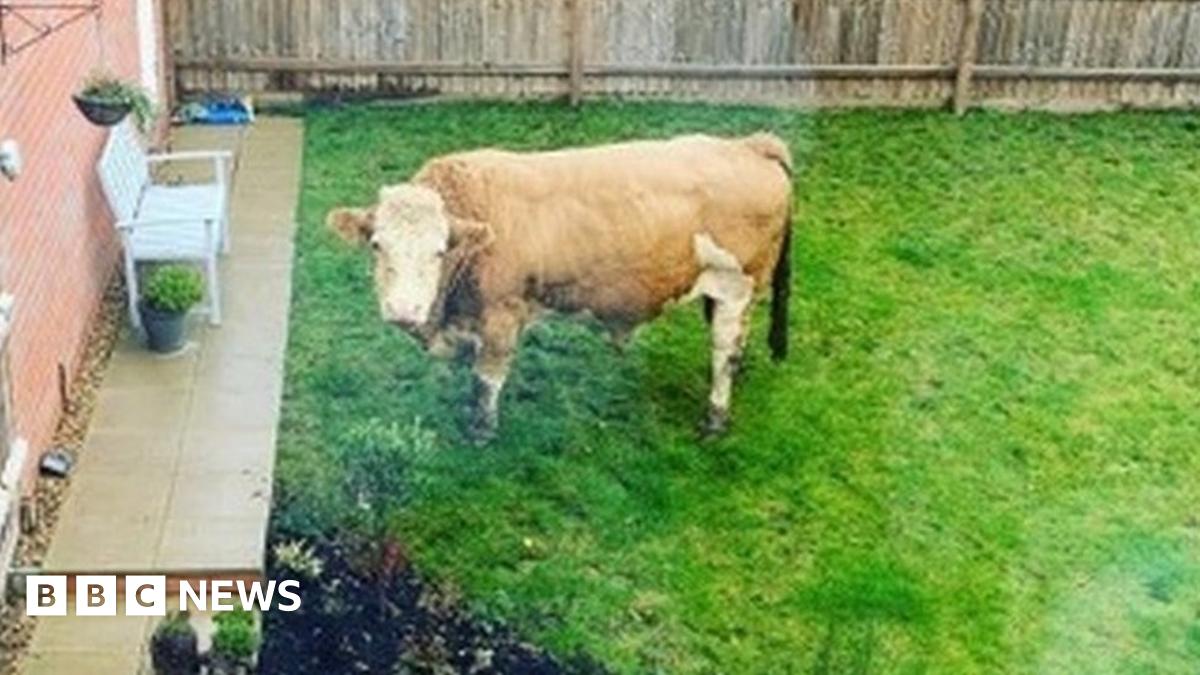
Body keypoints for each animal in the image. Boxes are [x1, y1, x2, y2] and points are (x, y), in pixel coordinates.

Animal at [328, 132, 794, 441]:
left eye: (440, 250)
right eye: (377, 245)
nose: (403, 310)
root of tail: (748, 144)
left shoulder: (502, 315)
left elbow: (486, 379)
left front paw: (481, 431)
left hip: (738, 285)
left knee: (724, 351)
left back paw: (715, 417)